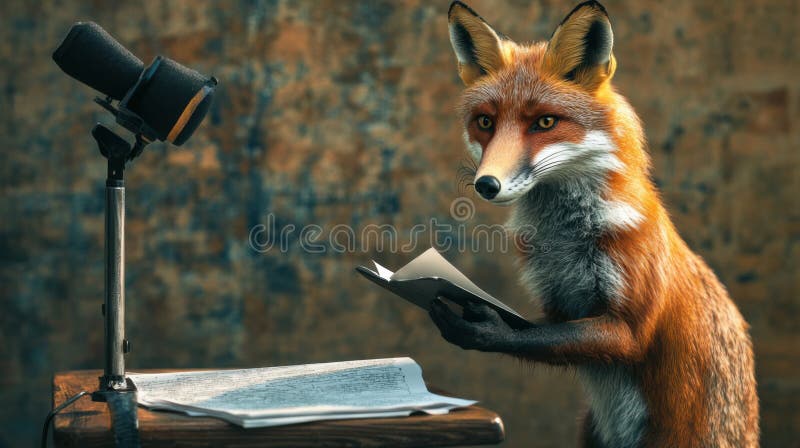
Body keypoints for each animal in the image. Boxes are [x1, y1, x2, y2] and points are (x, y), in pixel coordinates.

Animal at [427, 2, 759, 447]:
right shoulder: (558, 303)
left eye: (544, 123)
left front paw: (488, 329)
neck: (568, 240)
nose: (486, 184)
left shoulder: (630, 323)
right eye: (485, 122)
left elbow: (531, 335)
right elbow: (548, 336)